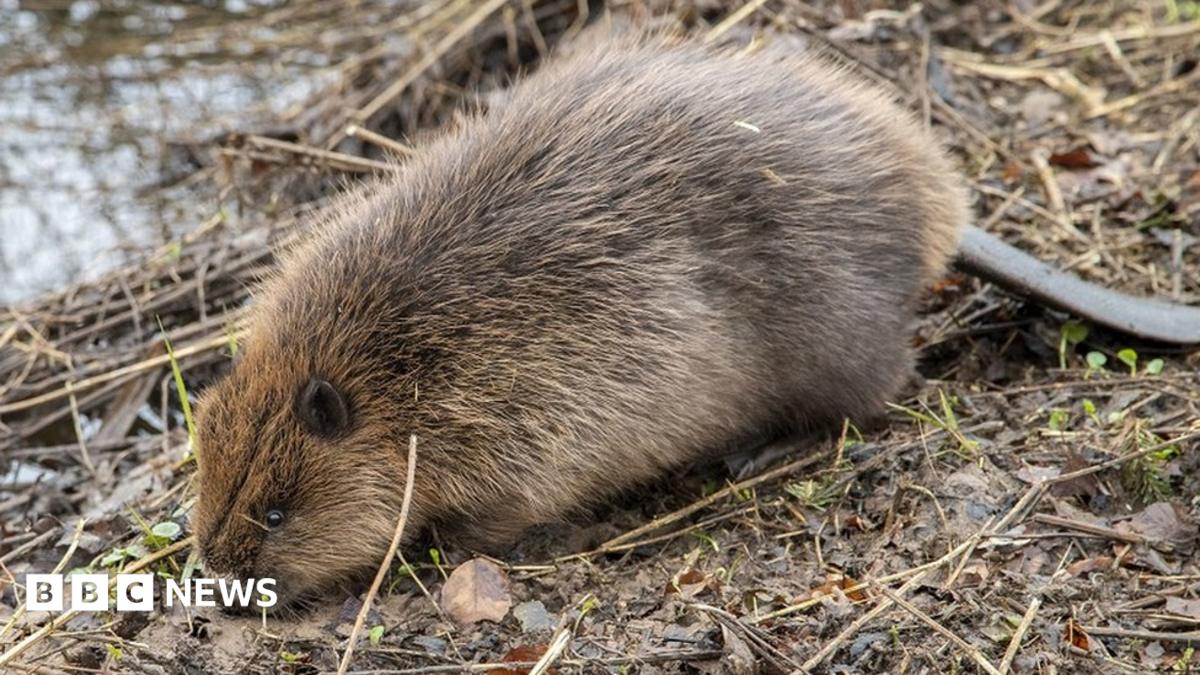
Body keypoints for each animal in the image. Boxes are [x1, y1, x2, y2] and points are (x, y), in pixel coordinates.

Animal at [192, 29, 1200, 606]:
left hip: (833, 333)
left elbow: (498, 517)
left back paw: (758, 449)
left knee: (878, 391)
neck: (395, 359)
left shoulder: (526, 425)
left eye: (277, 512)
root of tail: (944, 215)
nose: (224, 579)